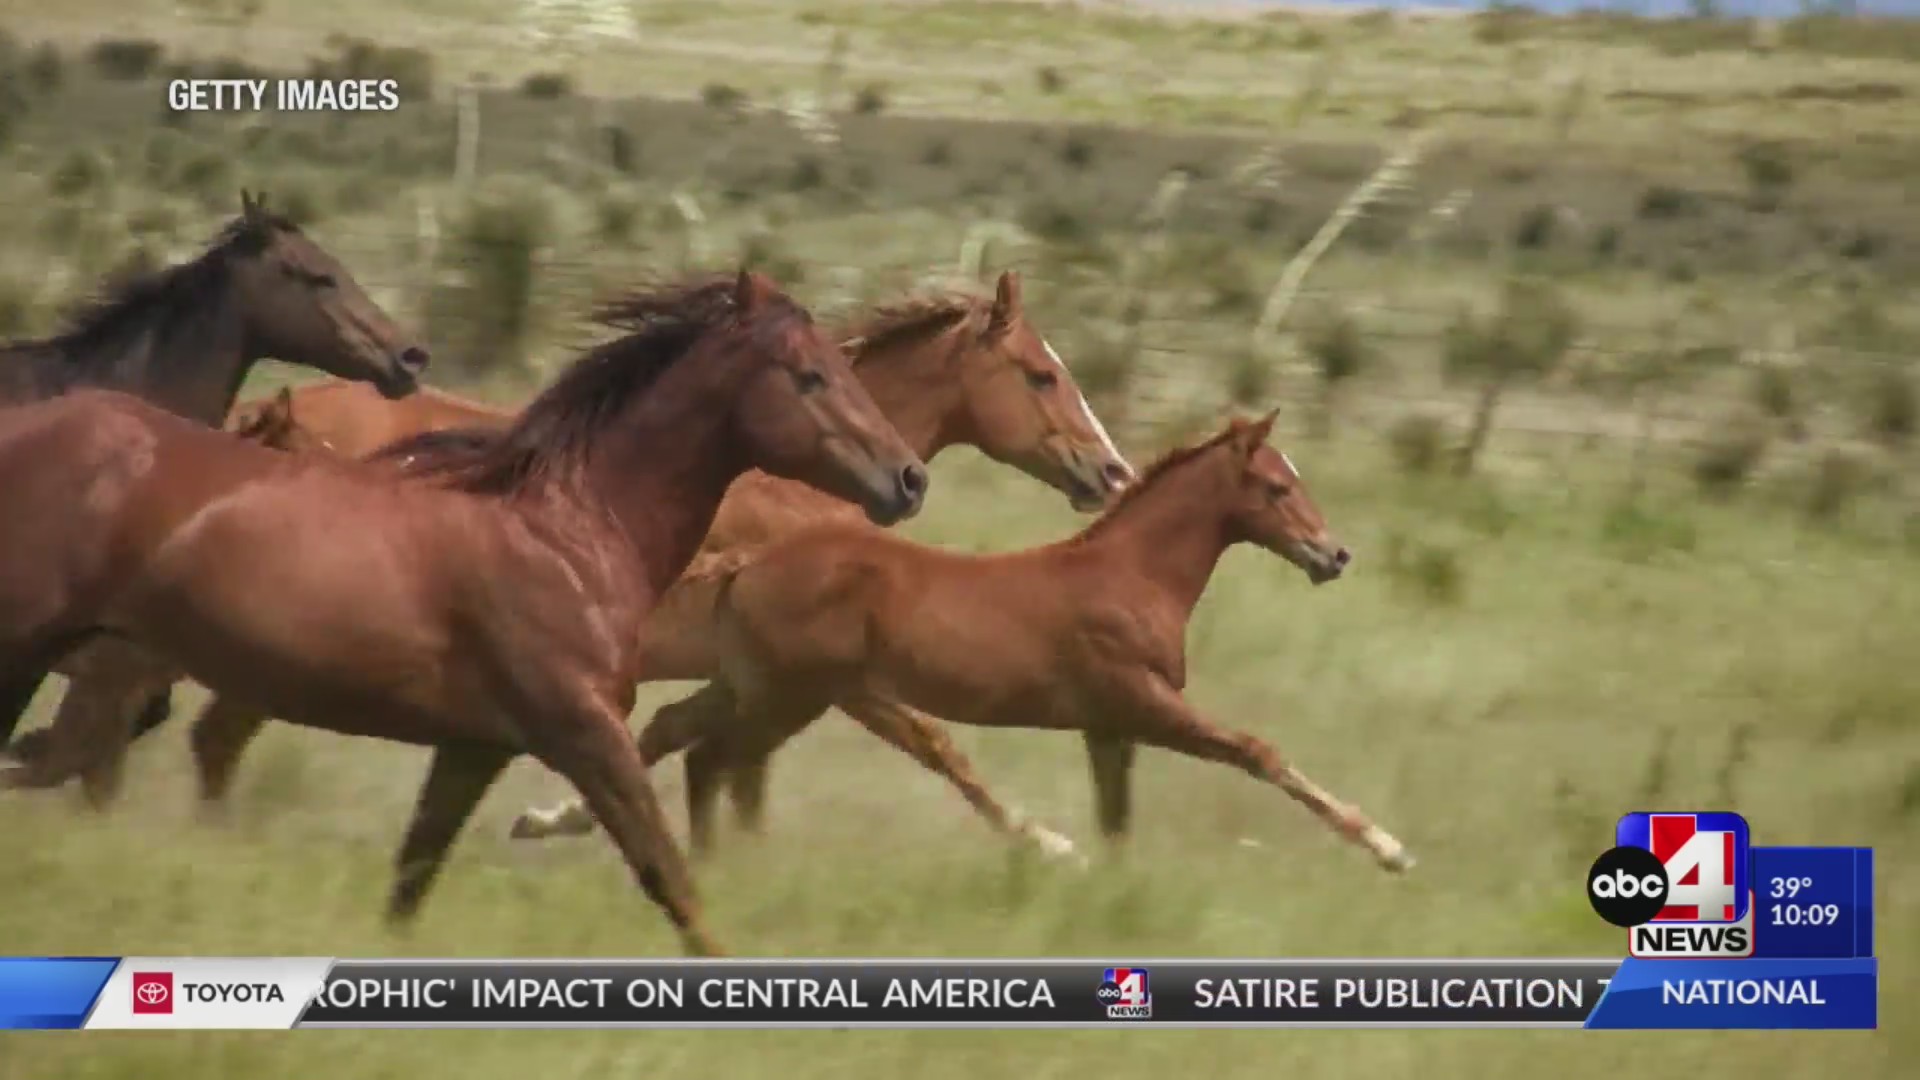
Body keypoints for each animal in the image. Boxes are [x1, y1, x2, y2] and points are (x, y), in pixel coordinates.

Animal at [0, 270, 927, 956]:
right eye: (811, 375)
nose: (908, 479)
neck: (572, 528)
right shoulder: (585, 735)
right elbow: (673, 880)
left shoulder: (473, 748)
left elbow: (412, 879)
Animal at [13, 272, 1136, 835]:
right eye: (1041, 375)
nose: (1113, 471)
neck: (786, 484)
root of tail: (273, 412)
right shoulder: (833, 675)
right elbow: (938, 746)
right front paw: (1049, 843)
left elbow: (687, 748)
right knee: (151, 722)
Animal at [609, 413, 1414, 875]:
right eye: (1276, 487)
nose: (1333, 554)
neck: (1131, 576)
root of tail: (747, 562)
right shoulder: (1145, 704)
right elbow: (1257, 751)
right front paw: (1386, 846)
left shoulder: (1108, 728)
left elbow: (1116, 818)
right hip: (796, 696)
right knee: (715, 759)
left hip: (764, 688)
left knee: (694, 747)